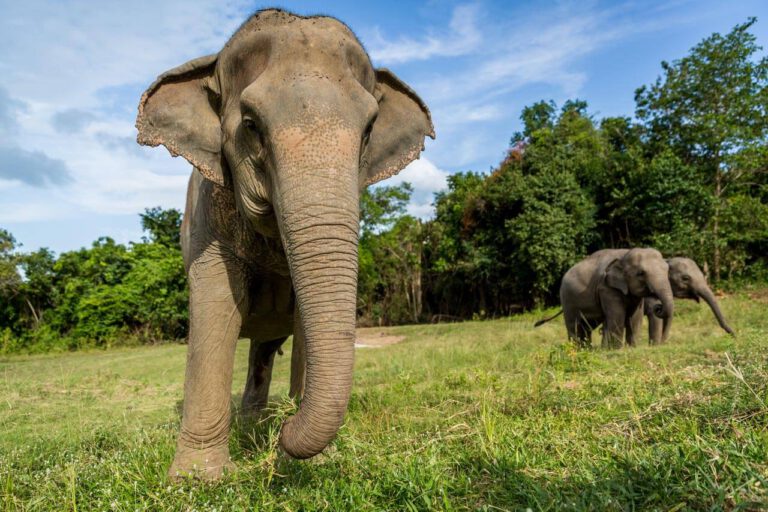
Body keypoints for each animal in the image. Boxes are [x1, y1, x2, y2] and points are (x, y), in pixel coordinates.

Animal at [136, 9, 434, 480]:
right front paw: (197, 480)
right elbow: (217, 305)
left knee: (264, 348)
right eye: (251, 125)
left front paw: (316, 455)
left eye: (369, 130)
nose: (284, 435)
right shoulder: (208, 215)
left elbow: (304, 323)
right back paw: (252, 423)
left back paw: (257, 419)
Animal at [535, 248, 674, 348]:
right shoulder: (606, 288)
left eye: (667, 271)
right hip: (567, 299)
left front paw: (632, 348)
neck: (625, 254)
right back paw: (576, 350)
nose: (658, 307)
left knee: (586, 328)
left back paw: (587, 349)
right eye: (641, 273)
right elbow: (618, 316)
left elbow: (635, 318)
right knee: (574, 326)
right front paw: (617, 349)